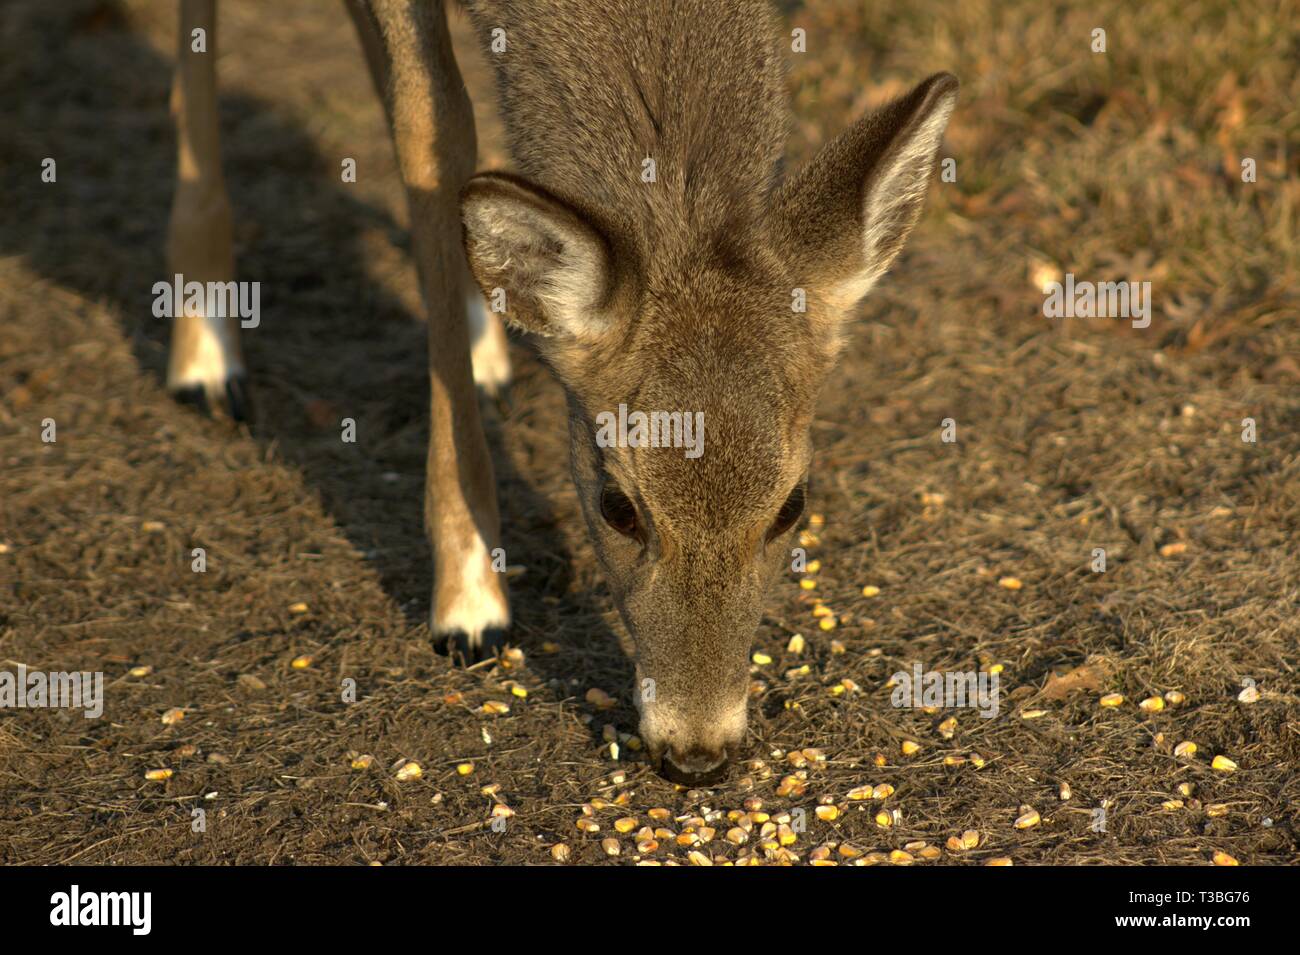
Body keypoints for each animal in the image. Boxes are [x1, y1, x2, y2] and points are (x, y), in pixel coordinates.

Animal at [165, 0, 957, 785]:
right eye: (617, 507)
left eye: (791, 505)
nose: (696, 755)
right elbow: (433, 139)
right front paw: (469, 597)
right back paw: (206, 349)